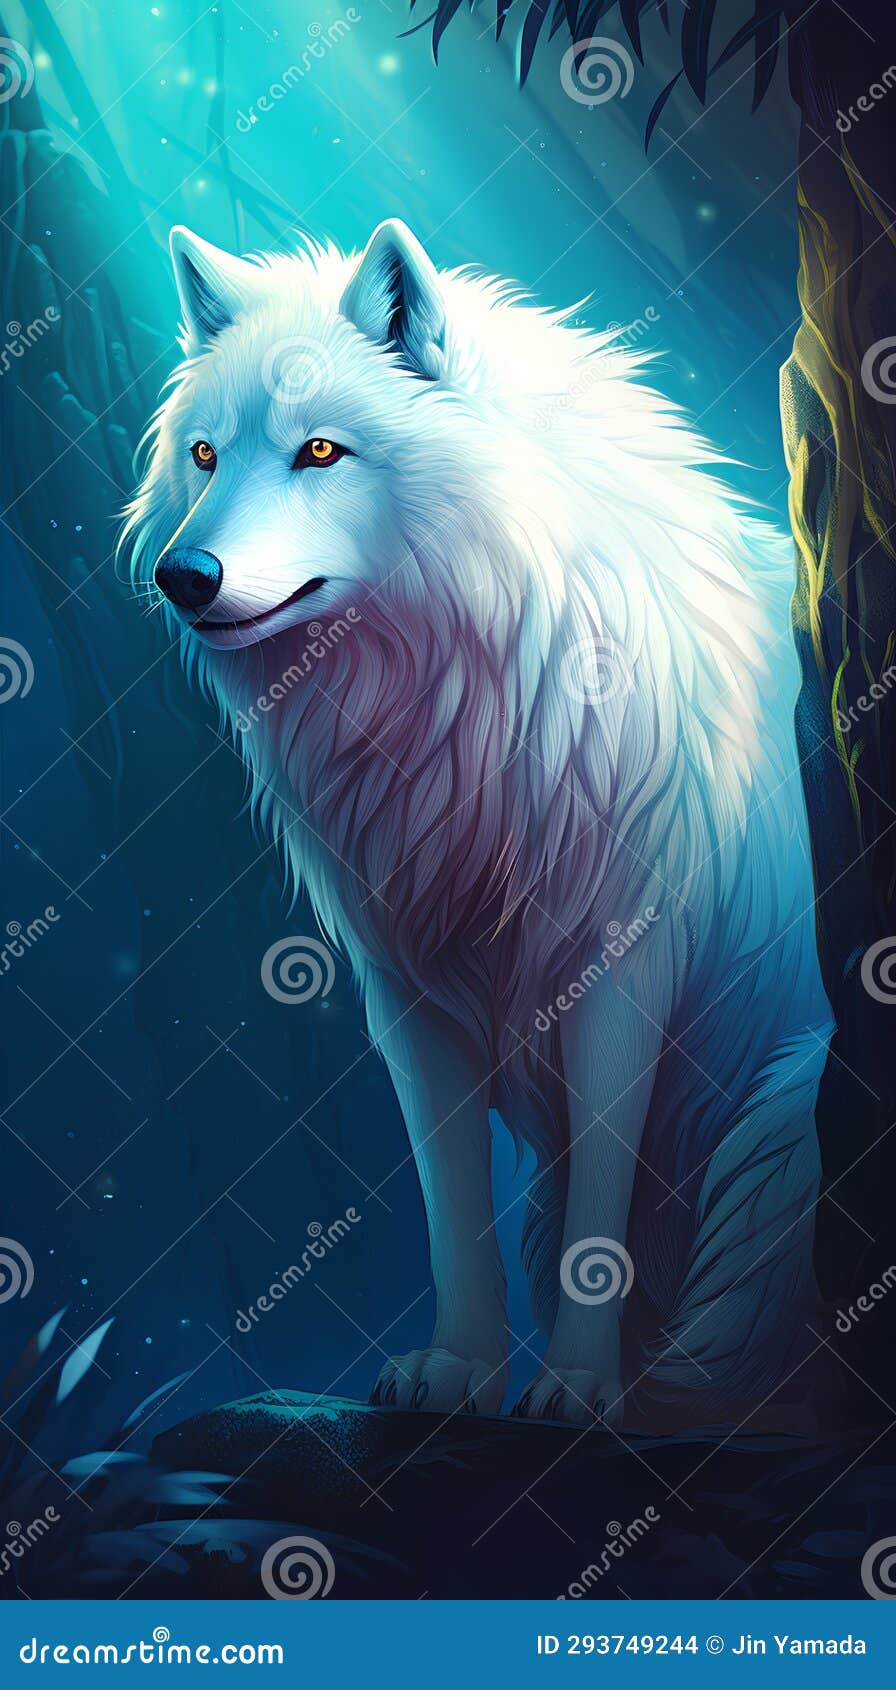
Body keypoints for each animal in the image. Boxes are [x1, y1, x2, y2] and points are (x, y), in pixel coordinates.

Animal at [123, 219, 831, 1427]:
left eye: (321, 452)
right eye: (207, 455)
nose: (182, 575)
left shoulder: (620, 963)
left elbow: (599, 1193)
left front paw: (578, 1387)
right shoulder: (409, 990)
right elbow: (451, 1203)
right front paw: (457, 1373)